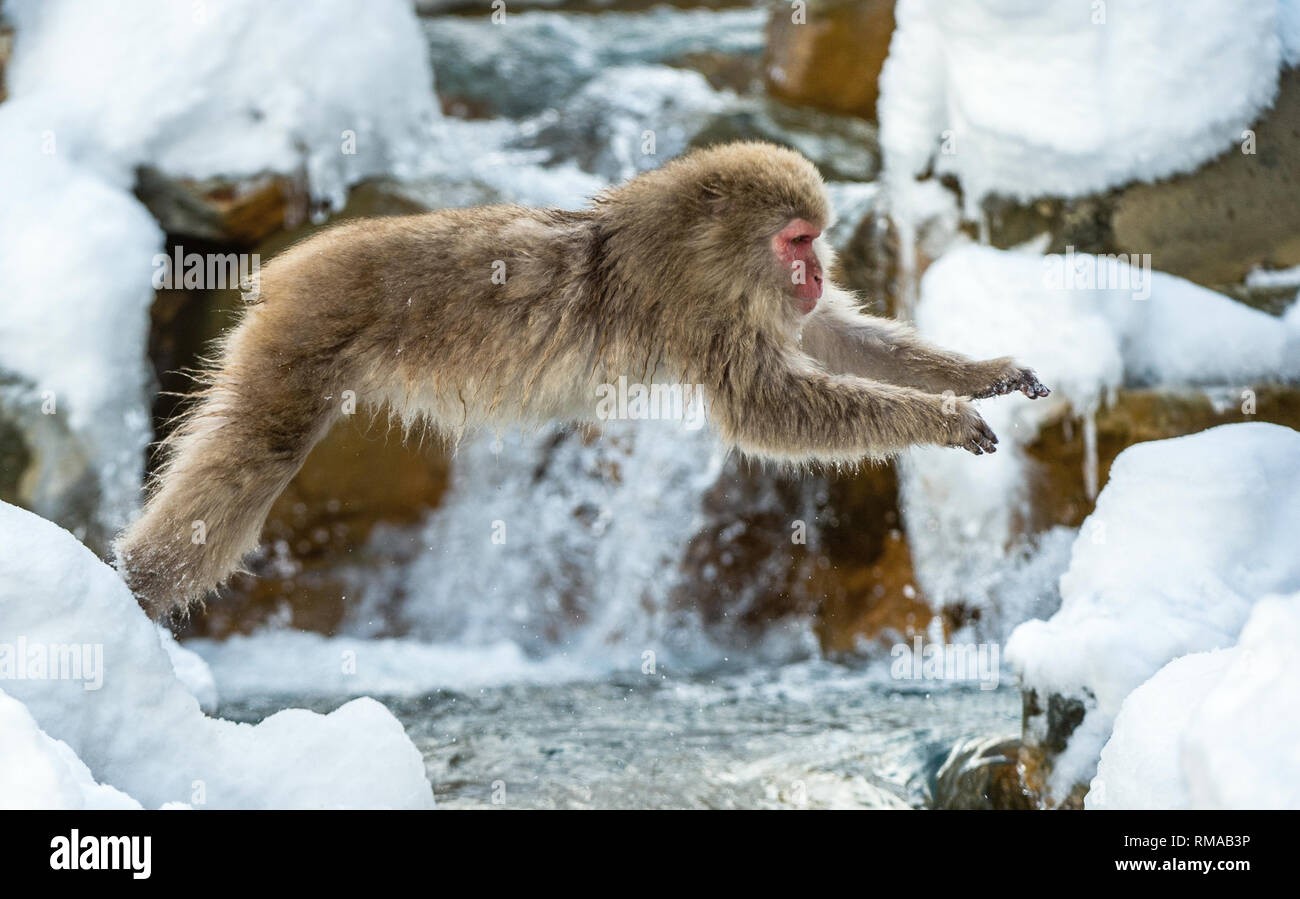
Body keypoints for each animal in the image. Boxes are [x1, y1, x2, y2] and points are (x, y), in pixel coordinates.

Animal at [115, 141, 1049, 620]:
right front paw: (940, 419)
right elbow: (768, 409)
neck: (702, 244)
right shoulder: (701, 307)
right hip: (301, 335)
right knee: (252, 454)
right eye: (797, 239)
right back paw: (136, 584)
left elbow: (834, 337)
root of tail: (292, 263)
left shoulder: (756, 303)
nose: (817, 271)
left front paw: (981, 375)